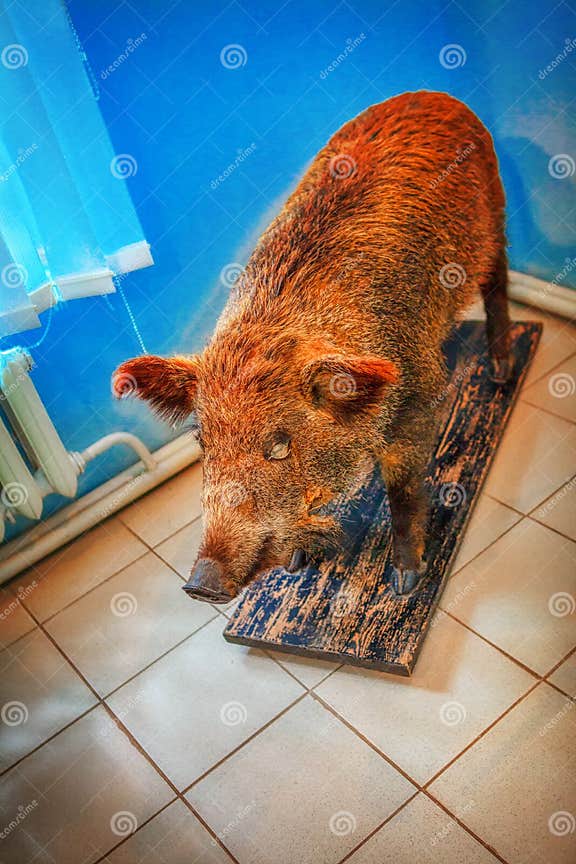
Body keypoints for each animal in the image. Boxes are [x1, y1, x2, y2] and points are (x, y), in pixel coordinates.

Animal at [113, 90, 511, 601]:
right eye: (202, 441)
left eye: (280, 445)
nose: (199, 585)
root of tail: (433, 95)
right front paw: (299, 564)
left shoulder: (419, 395)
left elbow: (403, 492)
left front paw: (404, 584)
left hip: (495, 219)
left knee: (497, 285)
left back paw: (500, 371)